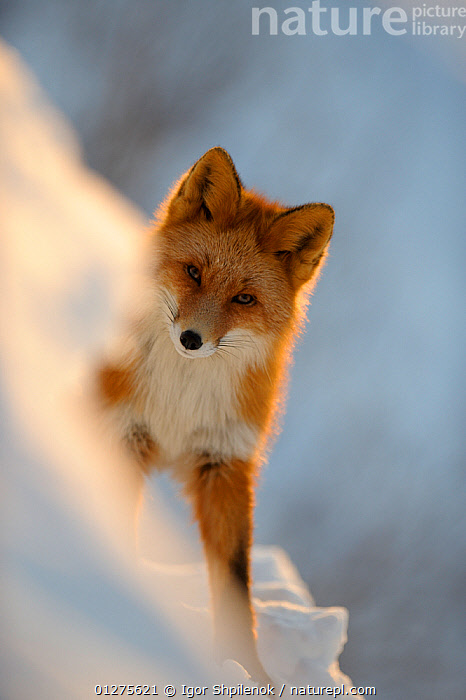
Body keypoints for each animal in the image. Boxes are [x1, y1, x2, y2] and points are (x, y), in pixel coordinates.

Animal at [95, 147, 334, 682]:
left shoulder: (223, 462)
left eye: (243, 299)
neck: (180, 401)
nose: (191, 339)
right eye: (194, 273)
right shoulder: (124, 435)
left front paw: (245, 669)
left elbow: (234, 584)